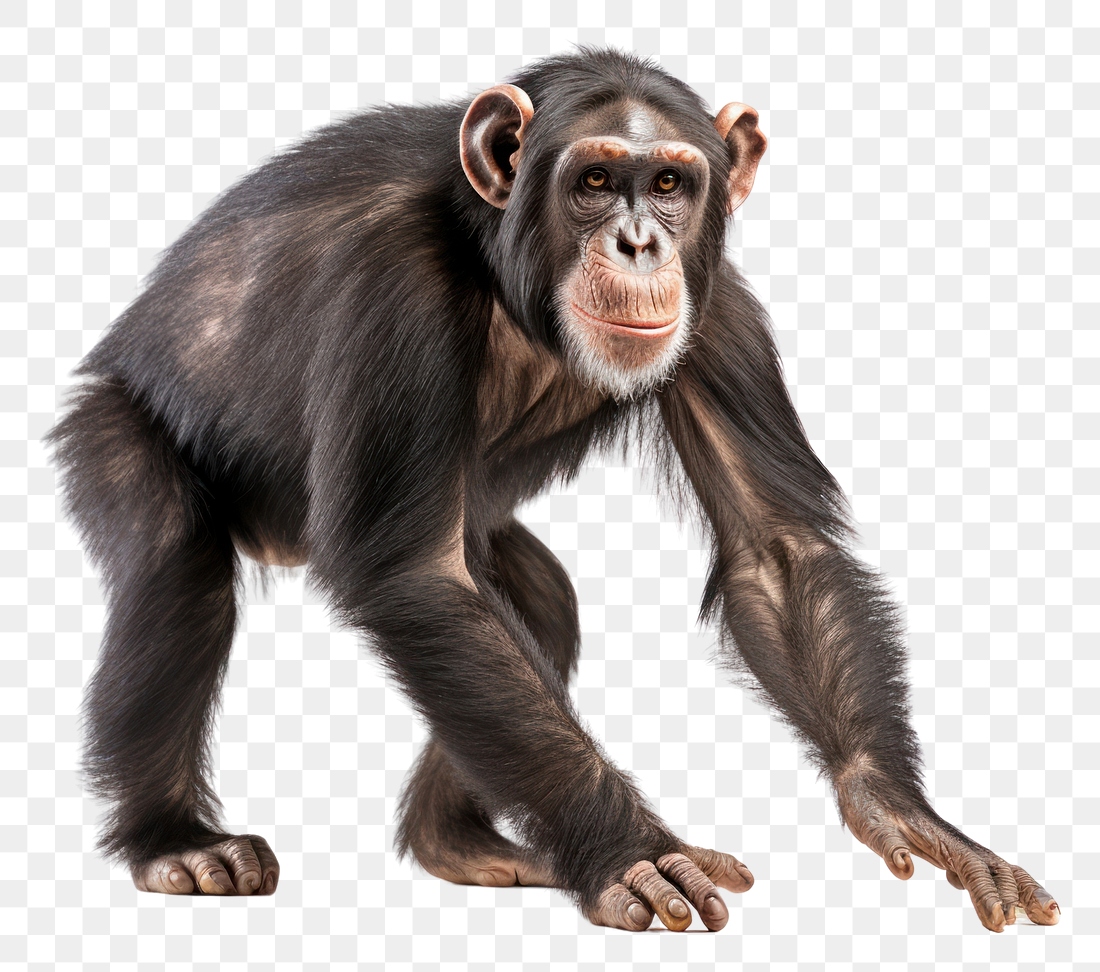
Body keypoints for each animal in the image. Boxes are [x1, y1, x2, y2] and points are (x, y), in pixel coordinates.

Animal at [47, 48, 1059, 932]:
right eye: (596, 181)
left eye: (670, 186)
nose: (640, 243)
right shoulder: (390, 278)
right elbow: (414, 579)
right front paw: (638, 857)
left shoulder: (721, 307)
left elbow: (775, 549)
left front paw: (899, 805)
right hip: (109, 419)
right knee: (175, 568)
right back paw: (177, 844)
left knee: (533, 600)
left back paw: (462, 842)